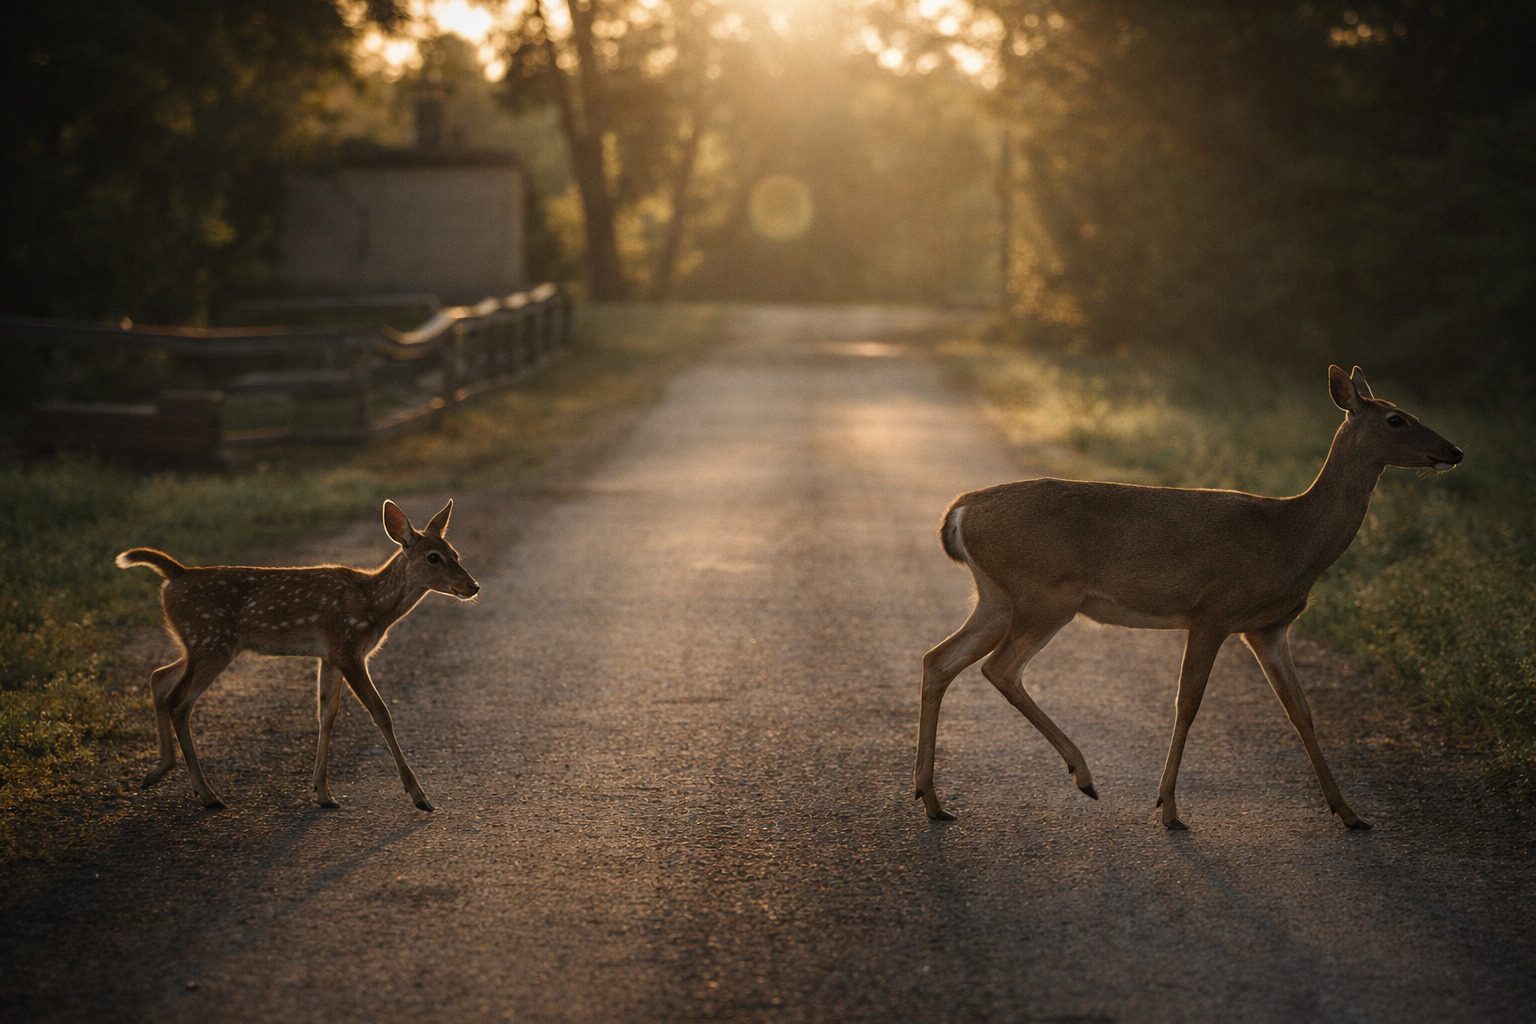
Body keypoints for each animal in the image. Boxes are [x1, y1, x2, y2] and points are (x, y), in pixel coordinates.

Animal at [116, 499, 479, 812]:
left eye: (455, 553)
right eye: (434, 557)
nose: (472, 586)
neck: (374, 605)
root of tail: (174, 574)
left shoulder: (329, 655)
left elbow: (326, 715)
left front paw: (323, 793)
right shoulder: (348, 648)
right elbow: (381, 712)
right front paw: (419, 796)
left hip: (200, 644)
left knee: (159, 677)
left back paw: (156, 772)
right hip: (210, 641)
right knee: (178, 700)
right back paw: (206, 794)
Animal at [915, 365, 1463, 830]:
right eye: (1396, 418)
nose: (1454, 451)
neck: (1293, 538)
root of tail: (960, 511)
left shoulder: (1268, 627)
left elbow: (1301, 711)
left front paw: (1349, 813)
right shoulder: (1213, 611)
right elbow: (1188, 702)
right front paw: (1169, 808)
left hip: (996, 597)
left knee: (939, 658)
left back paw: (933, 800)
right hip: (1044, 593)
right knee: (1000, 668)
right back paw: (1083, 775)